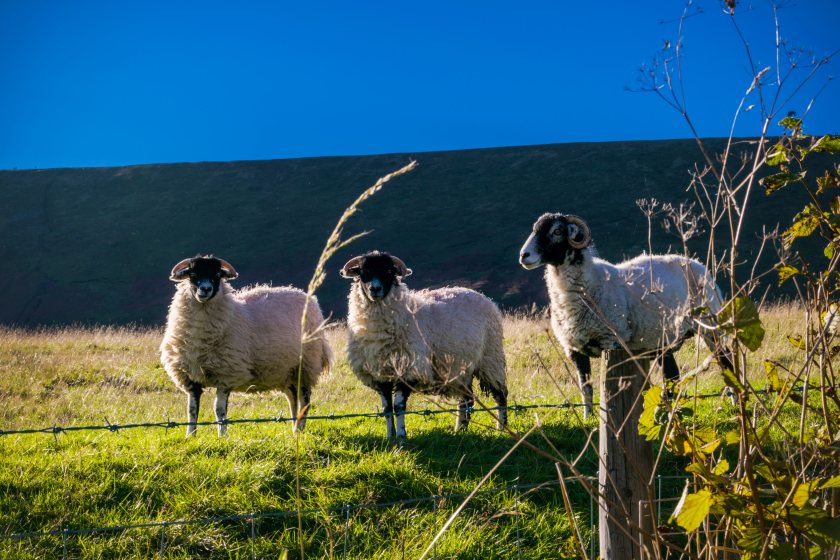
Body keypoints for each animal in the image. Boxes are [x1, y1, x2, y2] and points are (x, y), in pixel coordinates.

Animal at [160, 255, 332, 436]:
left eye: (217, 275)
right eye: (192, 274)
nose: (205, 289)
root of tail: (308, 297)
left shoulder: (226, 375)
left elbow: (219, 410)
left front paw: (222, 436)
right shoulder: (190, 378)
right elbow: (192, 410)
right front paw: (190, 436)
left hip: (306, 366)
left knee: (304, 401)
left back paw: (300, 430)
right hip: (287, 372)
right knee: (293, 399)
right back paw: (294, 428)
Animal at [340, 251, 509, 439]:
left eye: (389, 271)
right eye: (363, 272)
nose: (375, 289)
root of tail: (483, 297)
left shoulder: (409, 370)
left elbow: (398, 407)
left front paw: (401, 436)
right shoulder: (380, 375)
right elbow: (387, 409)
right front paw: (390, 437)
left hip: (490, 359)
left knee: (500, 395)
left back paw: (501, 428)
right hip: (460, 368)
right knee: (466, 400)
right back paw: (460, 430)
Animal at [518, 213, 733, 418]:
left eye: (557, 231)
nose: (523, 255)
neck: (587, 286)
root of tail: (698, 264)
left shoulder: (612, 342)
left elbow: (611, 387)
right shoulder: (574, 349)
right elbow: (586, 389)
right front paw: (588, 419)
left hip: (711, 325)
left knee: (726, 361)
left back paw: (733, 401)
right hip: (662, 341)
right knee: (672, 377)